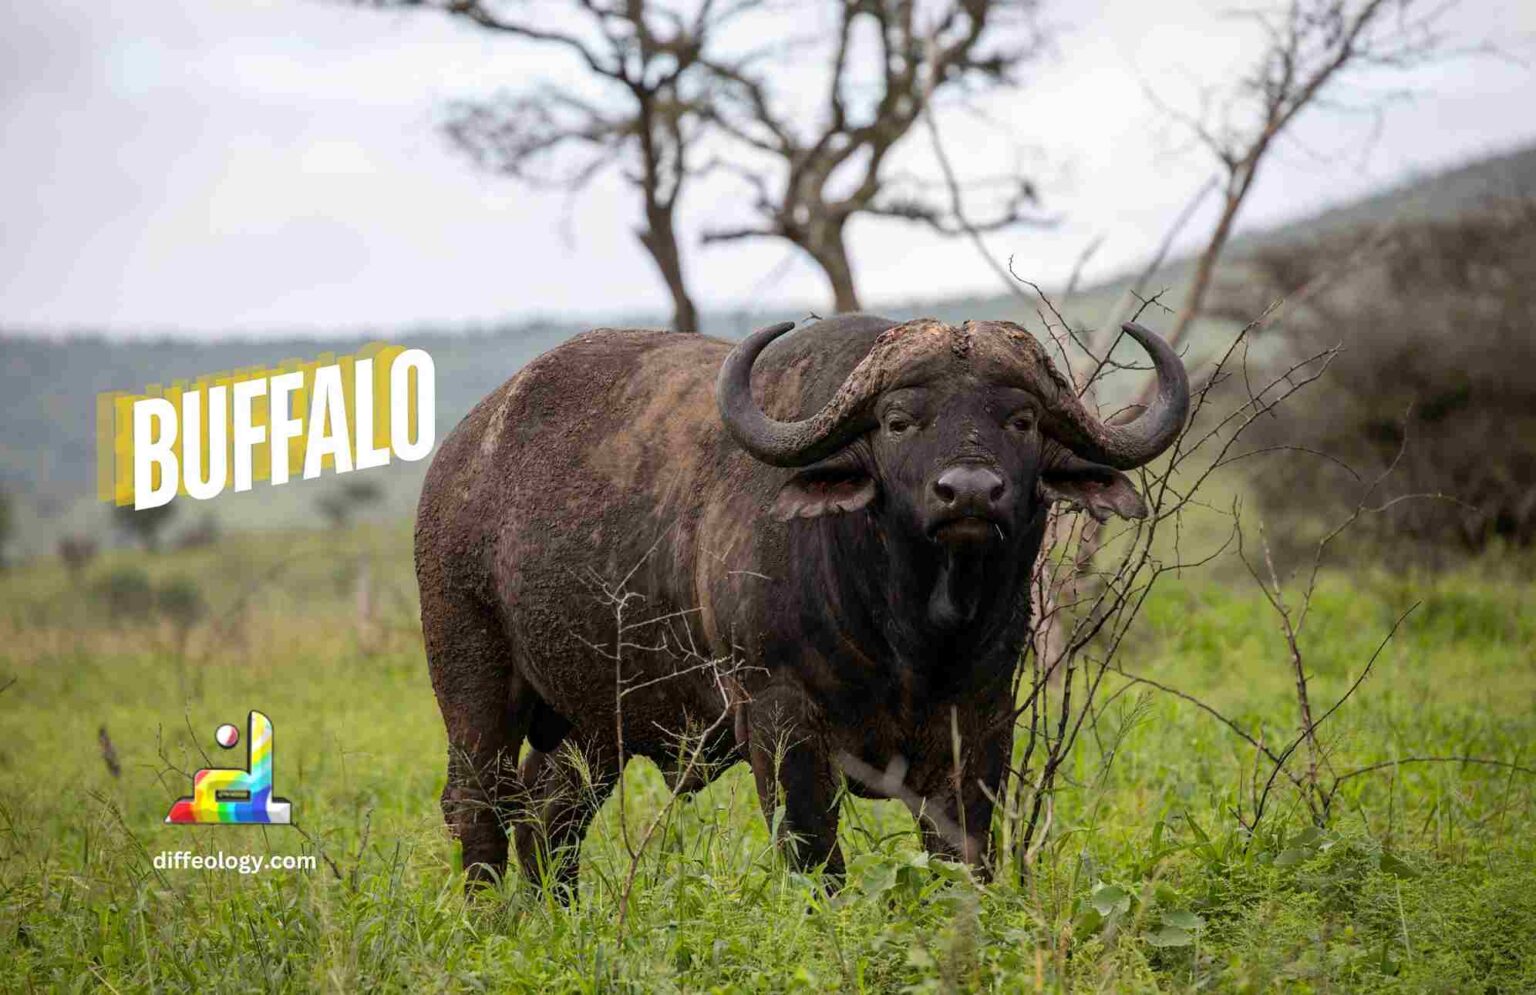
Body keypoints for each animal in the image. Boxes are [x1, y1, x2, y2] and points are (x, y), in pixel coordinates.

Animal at [415, 313, 1188, 888]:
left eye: (1020, 420)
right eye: (899, 421)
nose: (968, 492)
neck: (913, 632)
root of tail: (461, 454)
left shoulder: (983, 716)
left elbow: (965, 852)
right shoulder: (780, 719)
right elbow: (815, 855)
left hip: (593, 721)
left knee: (549, 814)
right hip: (470, 673)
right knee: (478, 803)